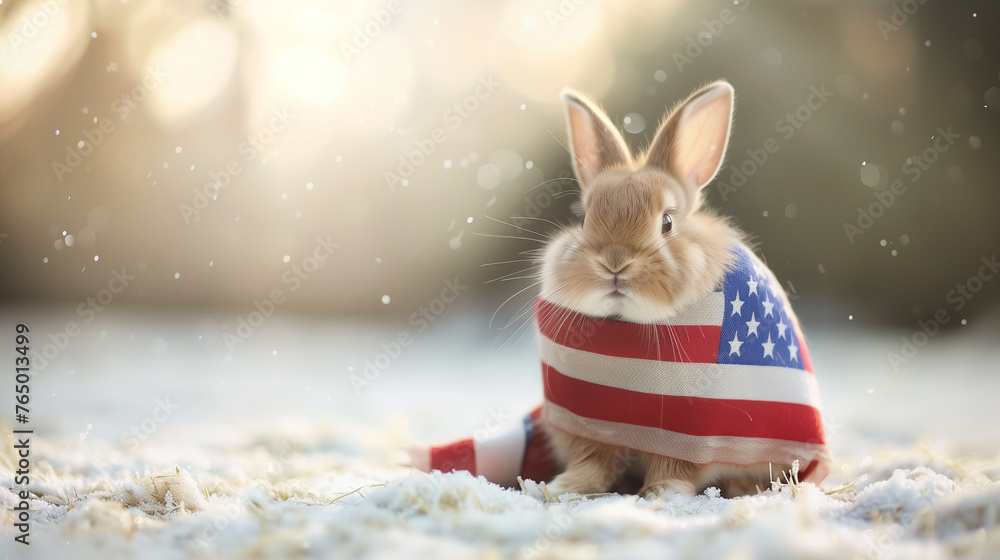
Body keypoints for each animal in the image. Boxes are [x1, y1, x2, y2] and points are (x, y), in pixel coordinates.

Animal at [536, 80, 825, 499]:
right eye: (585, 219)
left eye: (667, 222)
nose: (614, 263)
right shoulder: (591, 430)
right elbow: (594, 462)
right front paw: (565, 487)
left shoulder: (690, 436)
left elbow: (673, 467)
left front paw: (662, 493)